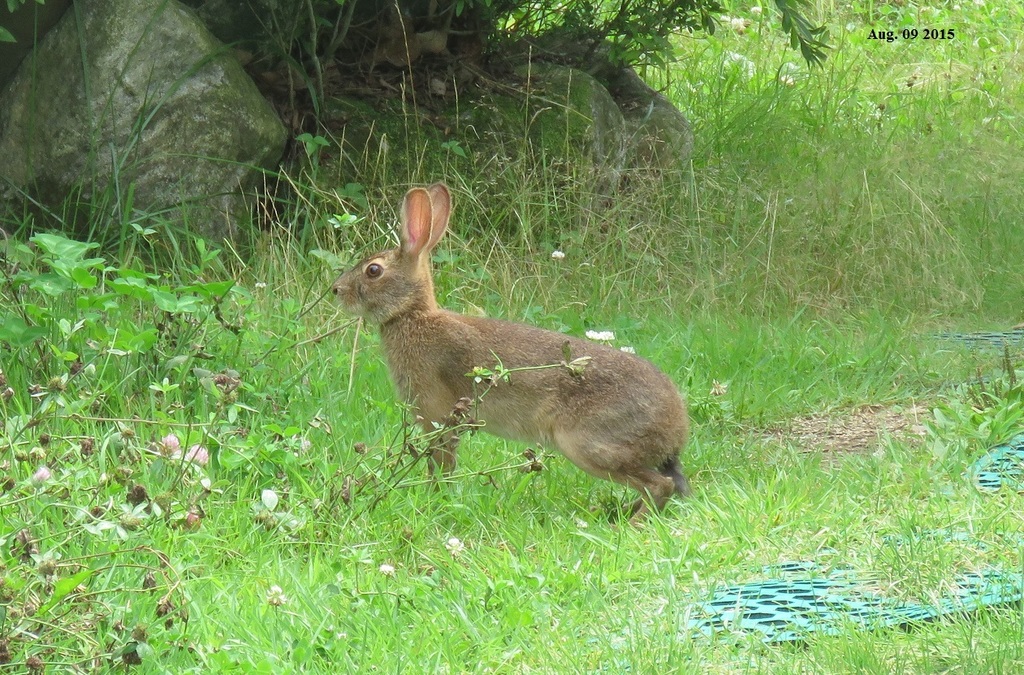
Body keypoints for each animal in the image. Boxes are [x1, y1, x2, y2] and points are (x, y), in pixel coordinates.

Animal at [332, 182, 690, 523]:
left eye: (373, 271)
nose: (336, 290)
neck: (411, 315)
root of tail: (675, 429)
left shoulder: (438, 417)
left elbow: (441, 463)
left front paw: (435, 497)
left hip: (589, 443)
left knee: (660, 485)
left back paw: (627, 523)